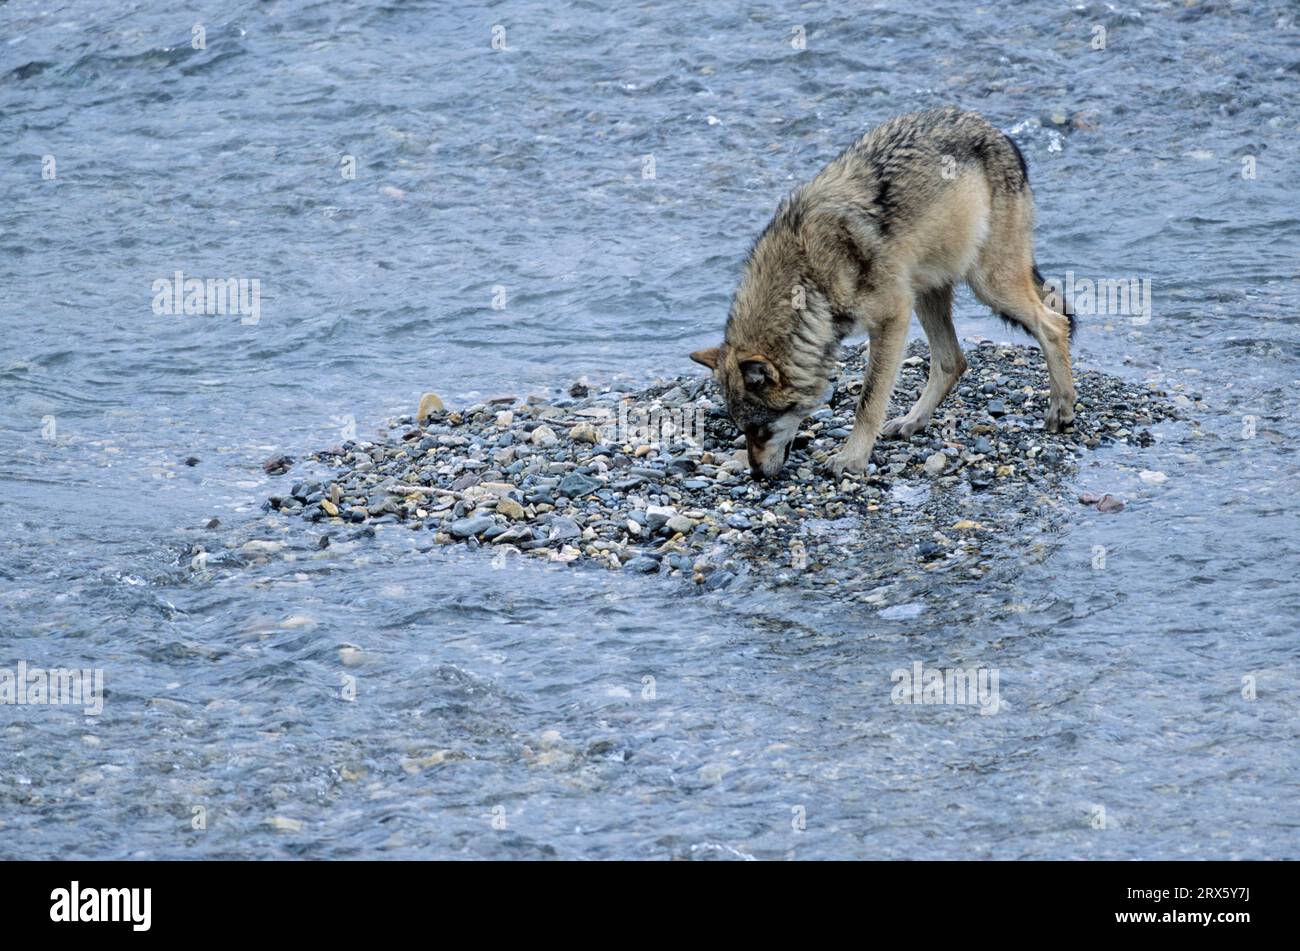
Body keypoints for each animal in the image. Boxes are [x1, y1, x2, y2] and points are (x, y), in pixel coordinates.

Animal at [689, 107, 1076, 479]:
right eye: (742, 429)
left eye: (760, 428)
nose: (756, 475)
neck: (808, 273)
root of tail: (999, 133)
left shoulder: (892, 317)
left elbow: (869, 400)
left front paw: (851, 459)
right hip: (928, 292)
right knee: (952, 361)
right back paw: (911, 422)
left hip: (988, 284)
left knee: (1054, 324)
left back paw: (1062, 410)